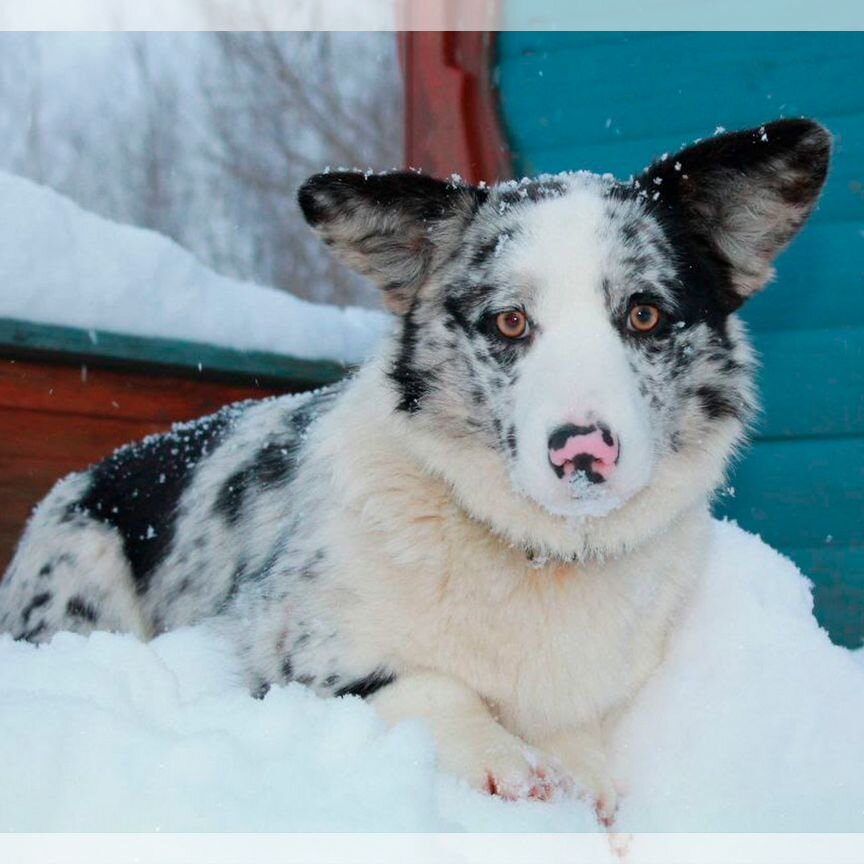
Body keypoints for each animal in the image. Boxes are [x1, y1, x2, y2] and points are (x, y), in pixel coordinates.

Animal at [0, 120, 832, 808]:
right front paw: (509, 762)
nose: (582, 449)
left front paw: (581, 777)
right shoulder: (292, 646)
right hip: (80, 568)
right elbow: (427, 686)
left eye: (646, 314)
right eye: (509, 321)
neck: (543, 556)